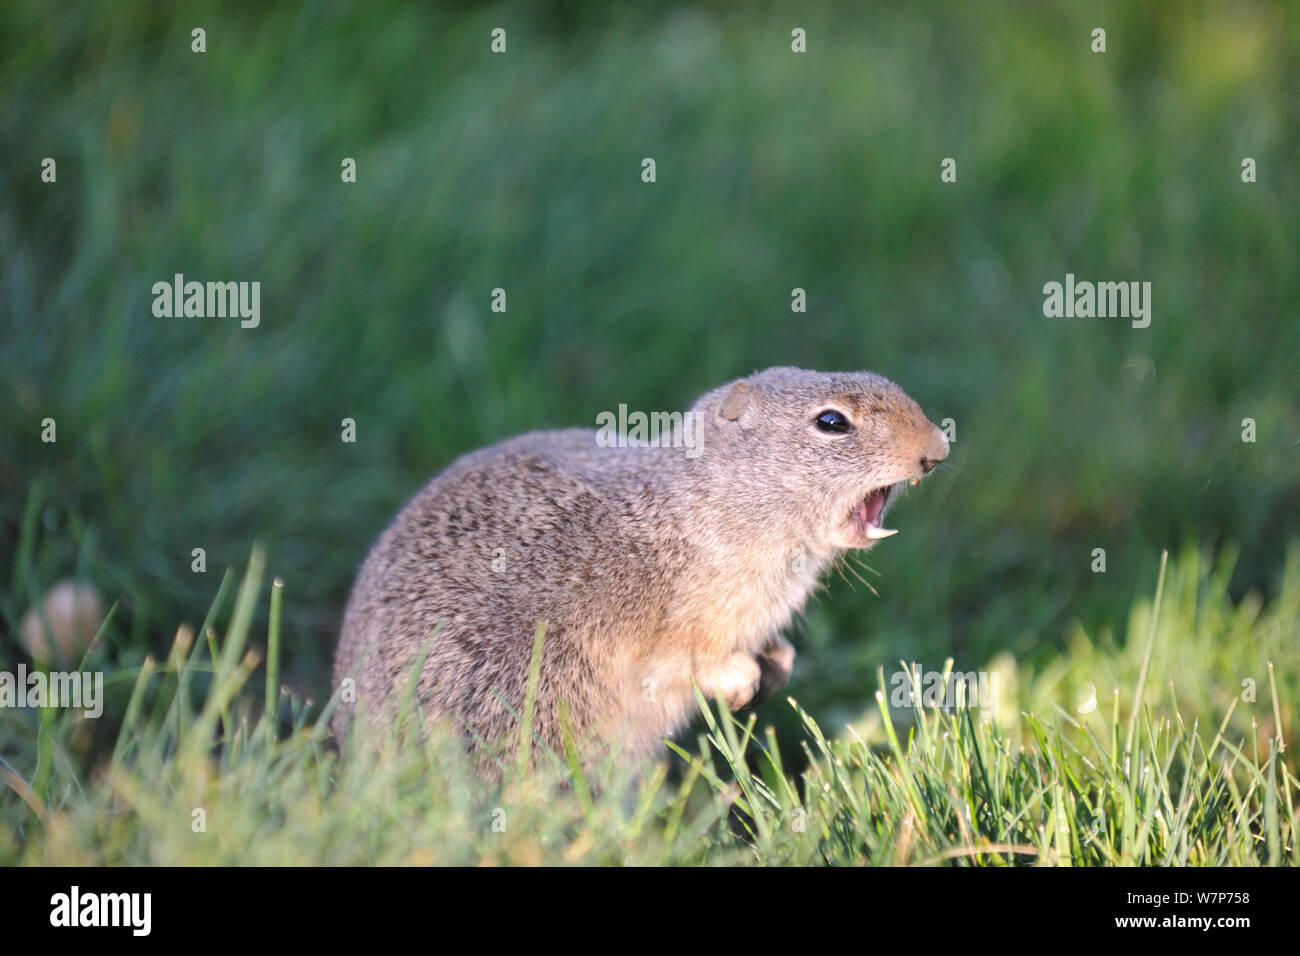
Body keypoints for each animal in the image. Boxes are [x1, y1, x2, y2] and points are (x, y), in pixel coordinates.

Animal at [332, 367, 949, 766]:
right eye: (831, 422)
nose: (937, 451)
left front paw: (779, 661)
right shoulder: (655, 621)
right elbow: (675, 661)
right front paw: (739, 676)